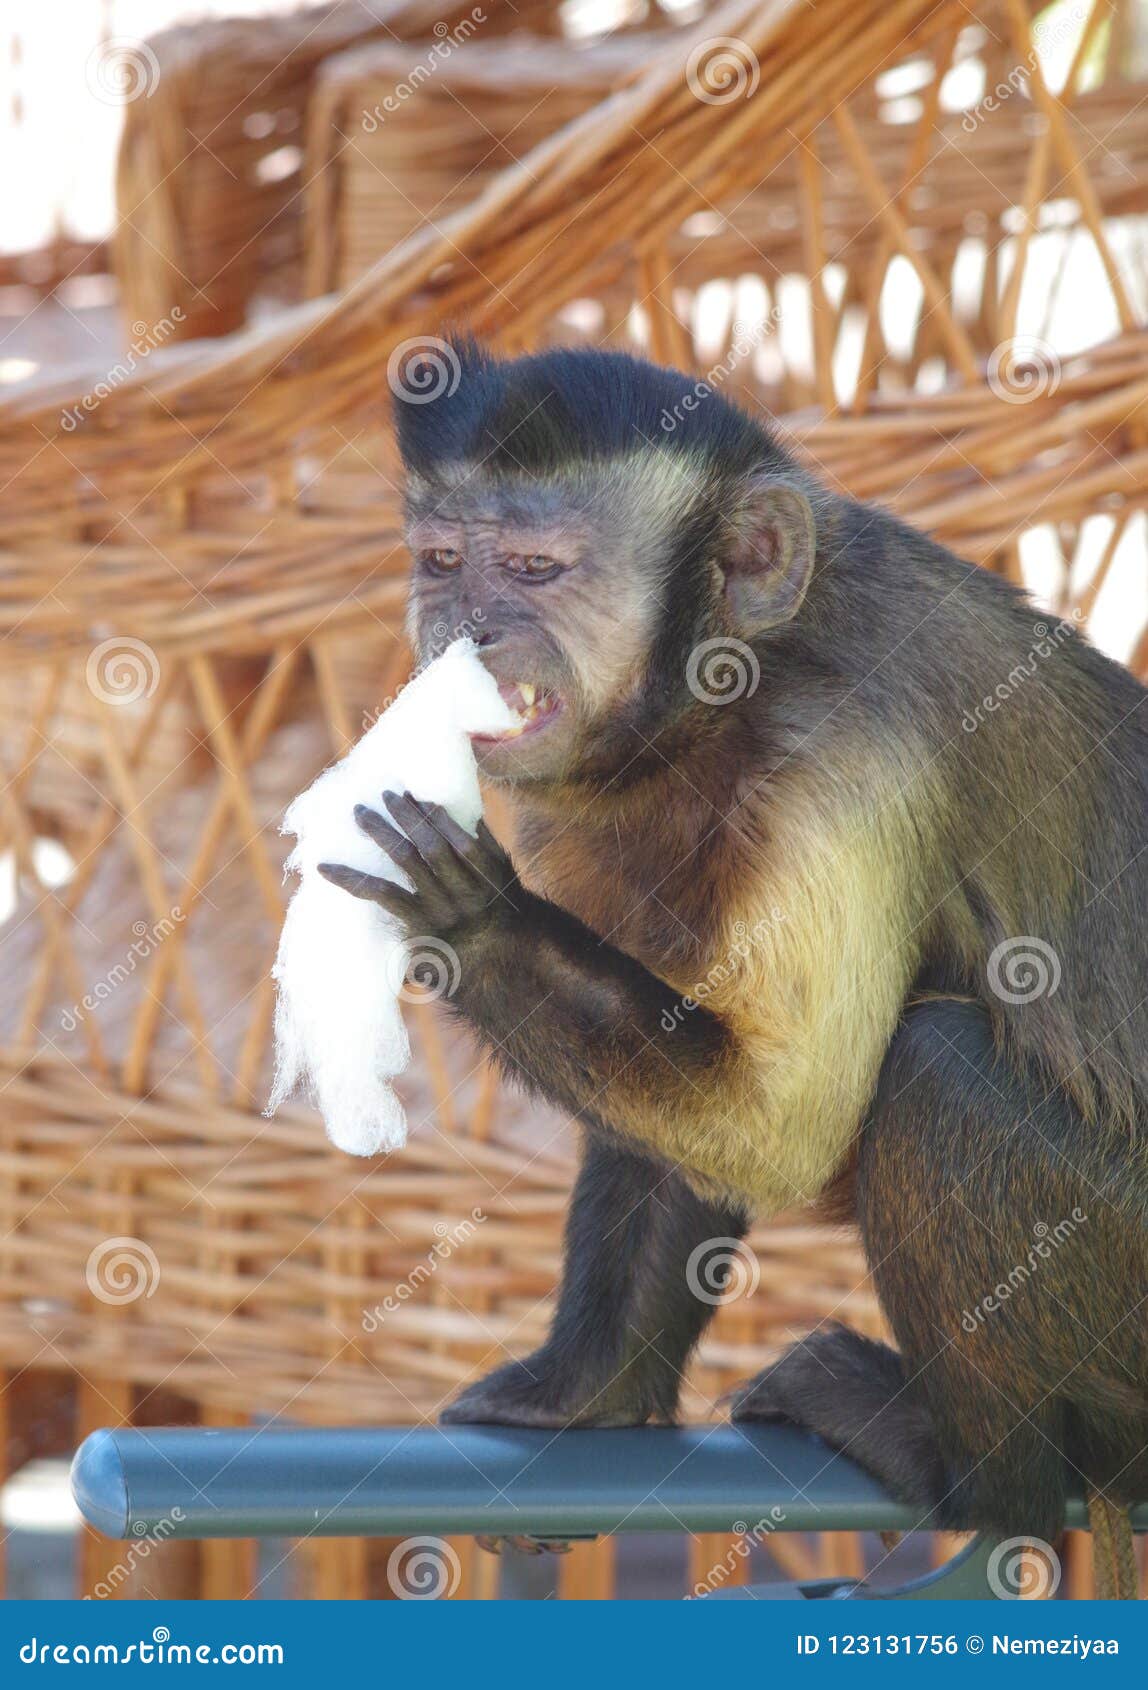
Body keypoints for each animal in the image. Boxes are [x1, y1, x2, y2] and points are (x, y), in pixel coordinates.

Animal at [319, 340, 1148, 1592]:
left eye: (535, 570)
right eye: (442, 563)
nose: (467, 632)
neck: (725, 693)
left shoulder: (845, 758)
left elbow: (780, 1117)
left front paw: (473, 926)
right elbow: (671, 1102)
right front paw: (585, 1394)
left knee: (932, 1072)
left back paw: (969, 1476)